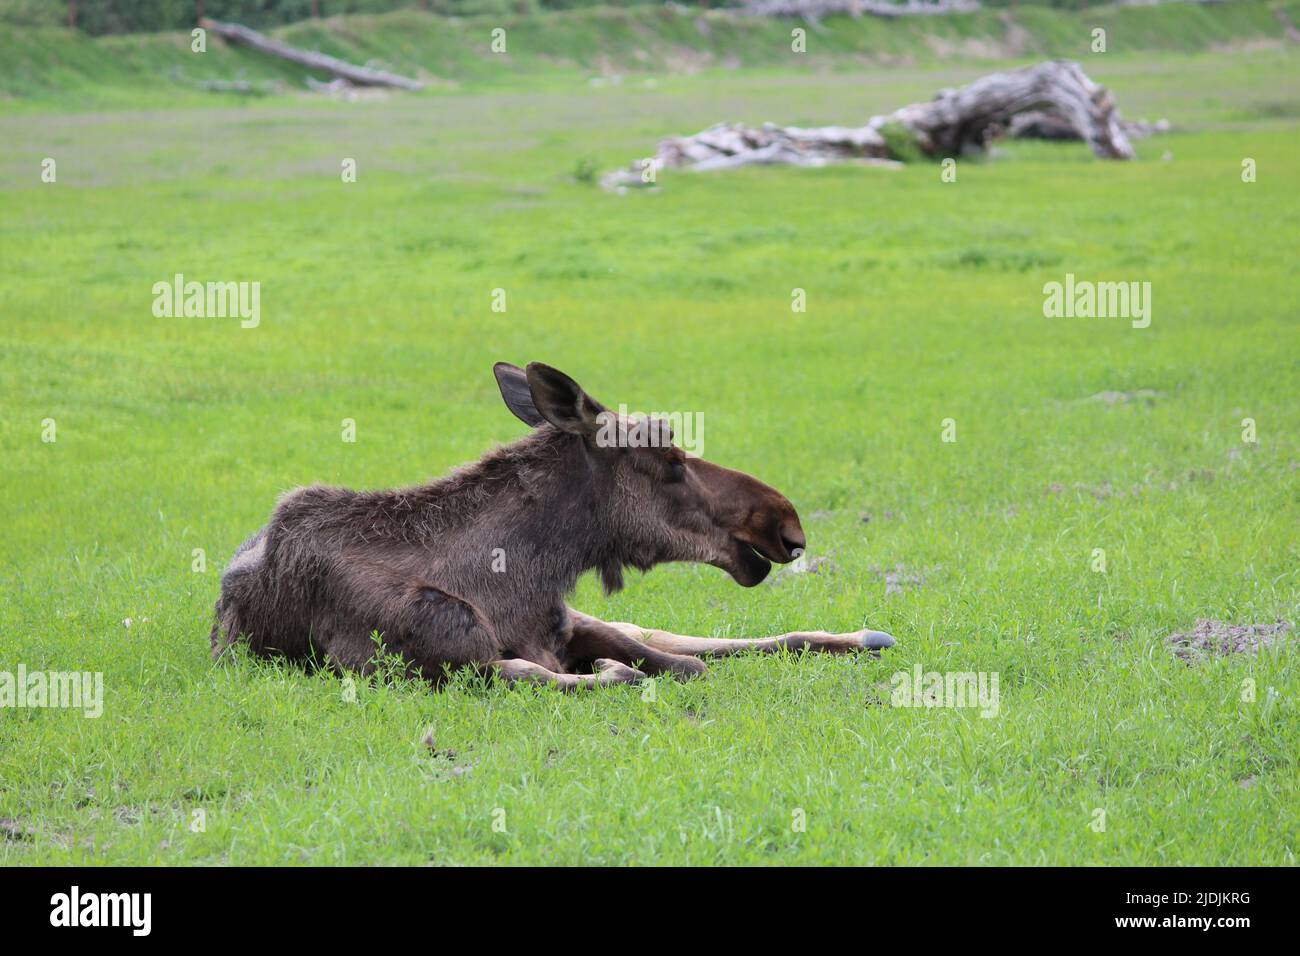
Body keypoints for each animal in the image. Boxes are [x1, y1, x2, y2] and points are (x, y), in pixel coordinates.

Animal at [209, 362, 895, 689]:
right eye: (670, 459)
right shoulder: (429, 662)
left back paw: (863, 636)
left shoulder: (568, 622)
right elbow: (606, 674)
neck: (513, 581)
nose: (784, 523)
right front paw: (610, 672)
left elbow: (677, 661)